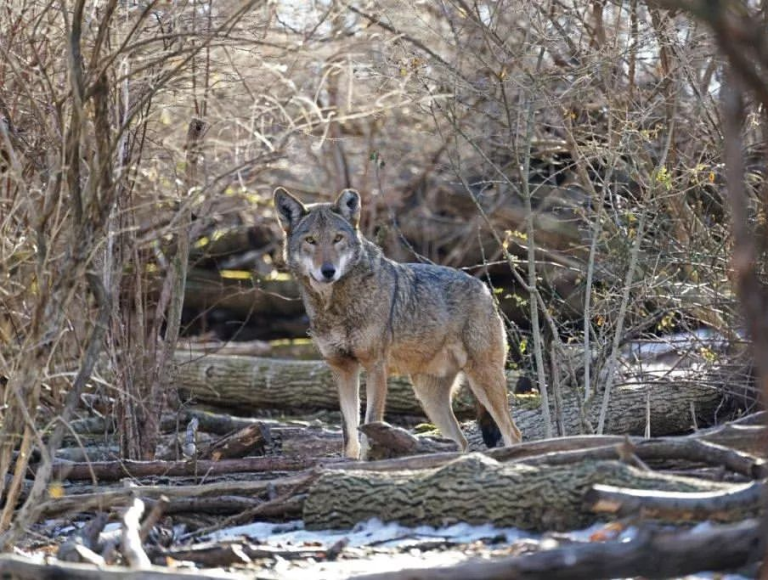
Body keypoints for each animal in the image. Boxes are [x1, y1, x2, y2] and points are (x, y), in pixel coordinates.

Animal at [274, 187, 522, 459]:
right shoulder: (342, 368)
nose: (328, 271)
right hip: (429, 398)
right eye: (311, 240)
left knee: (513, 433)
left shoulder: (375, 366)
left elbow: (370, 424)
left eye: (337, 238)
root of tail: (484, 288)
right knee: (462, 442)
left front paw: (368, 461)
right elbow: (349, 432)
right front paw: (349, 462)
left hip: (483, 379)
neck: (335, 306)